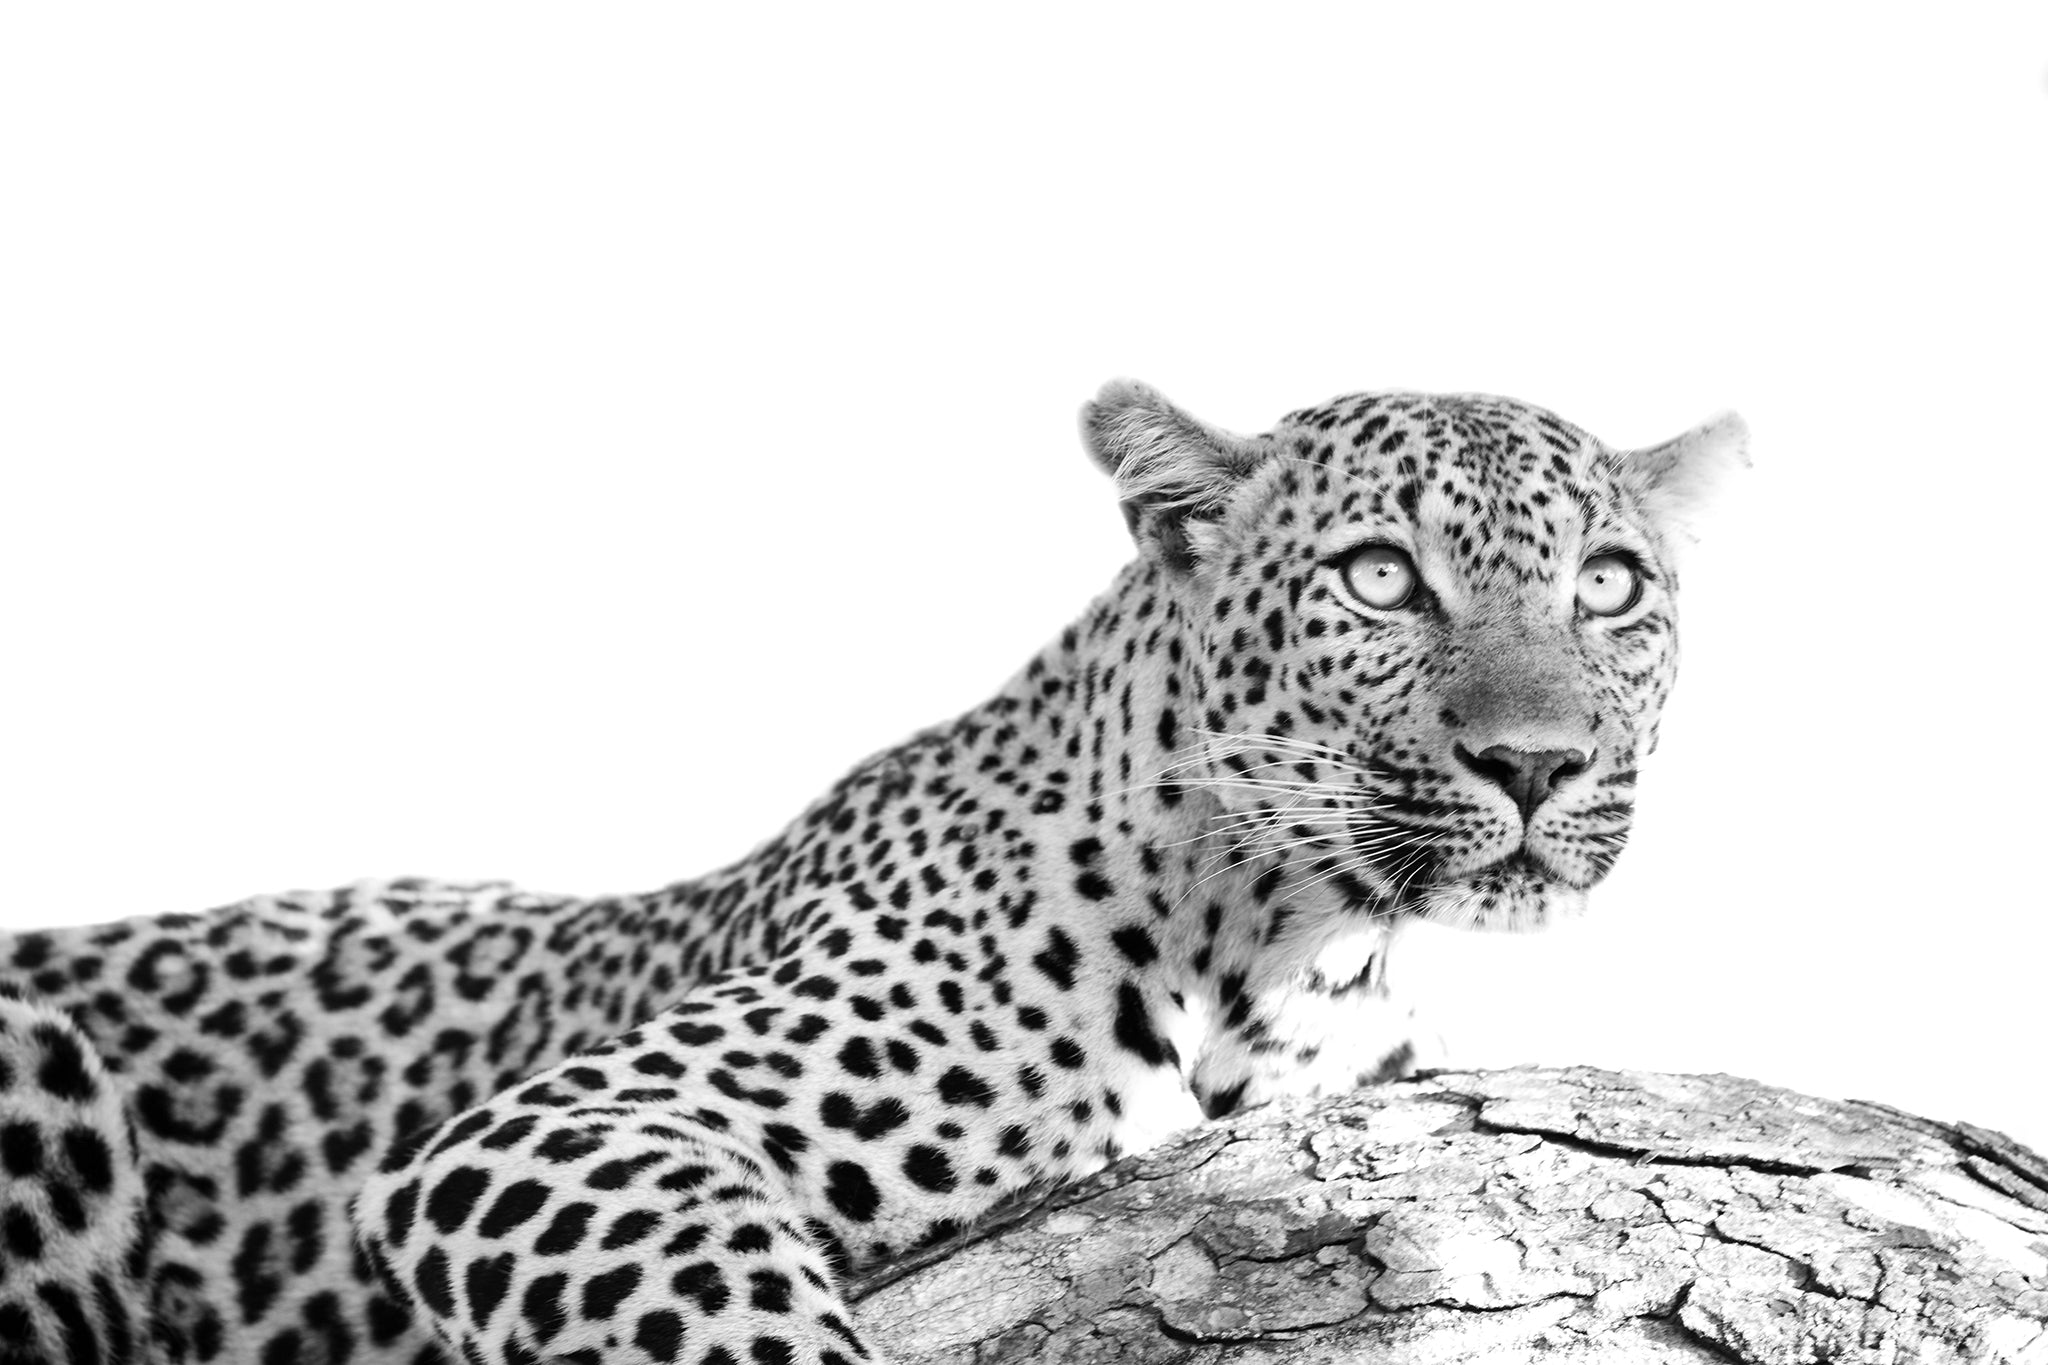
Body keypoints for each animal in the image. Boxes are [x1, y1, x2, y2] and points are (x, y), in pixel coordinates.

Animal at [0, 380, 1746, 1365]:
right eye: (1381, 578)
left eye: (1609, 588)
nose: (1538, 763)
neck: (1290, 949)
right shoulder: (547, 1131)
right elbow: (736, 1315)